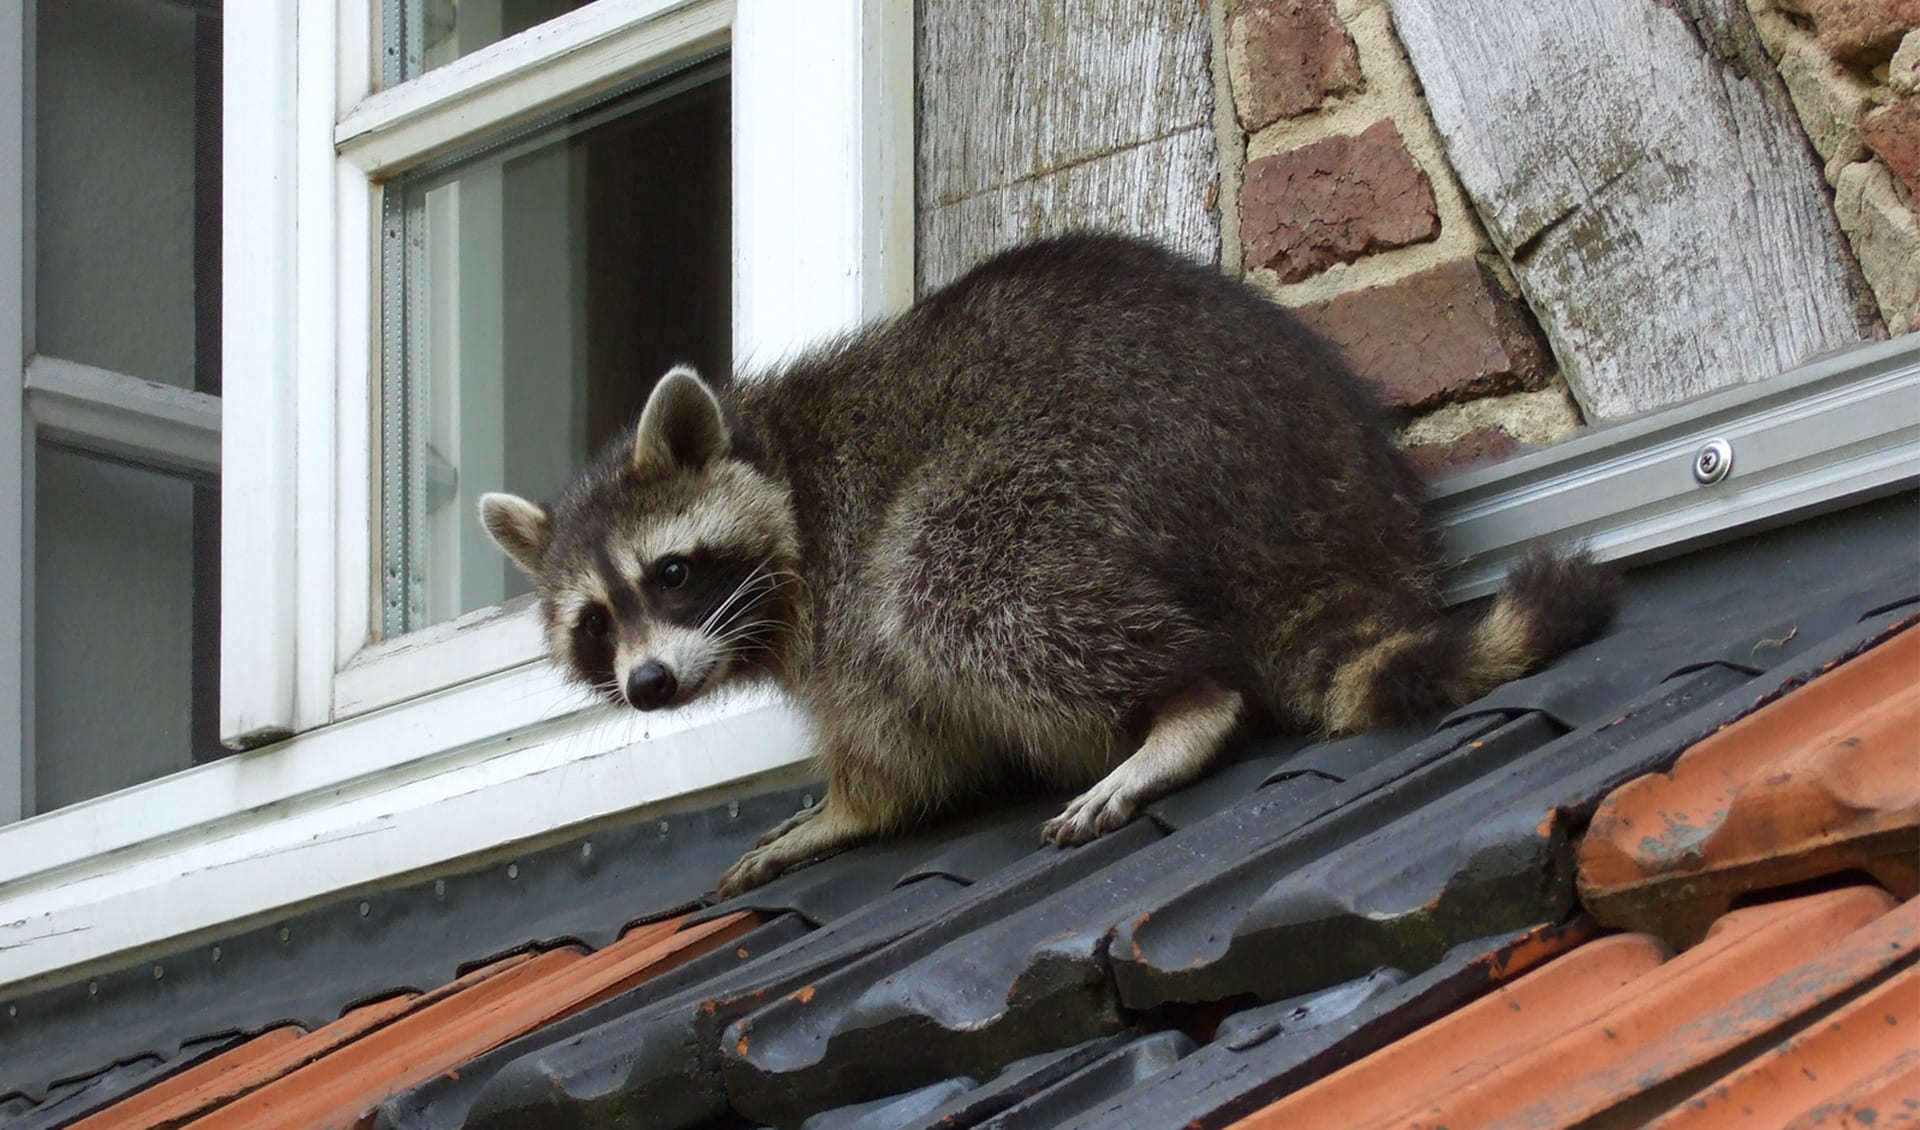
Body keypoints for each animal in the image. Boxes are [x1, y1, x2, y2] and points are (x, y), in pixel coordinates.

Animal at [480, 233, 1616, 897]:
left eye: (671, 574)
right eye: (595, 622)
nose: (647, 684)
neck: (775, 459)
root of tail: (1319, 507)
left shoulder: (839, 582)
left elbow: (896, 740)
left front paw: (849, 808)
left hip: (1095, 458)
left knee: (948, 582)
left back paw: (1183, 703)